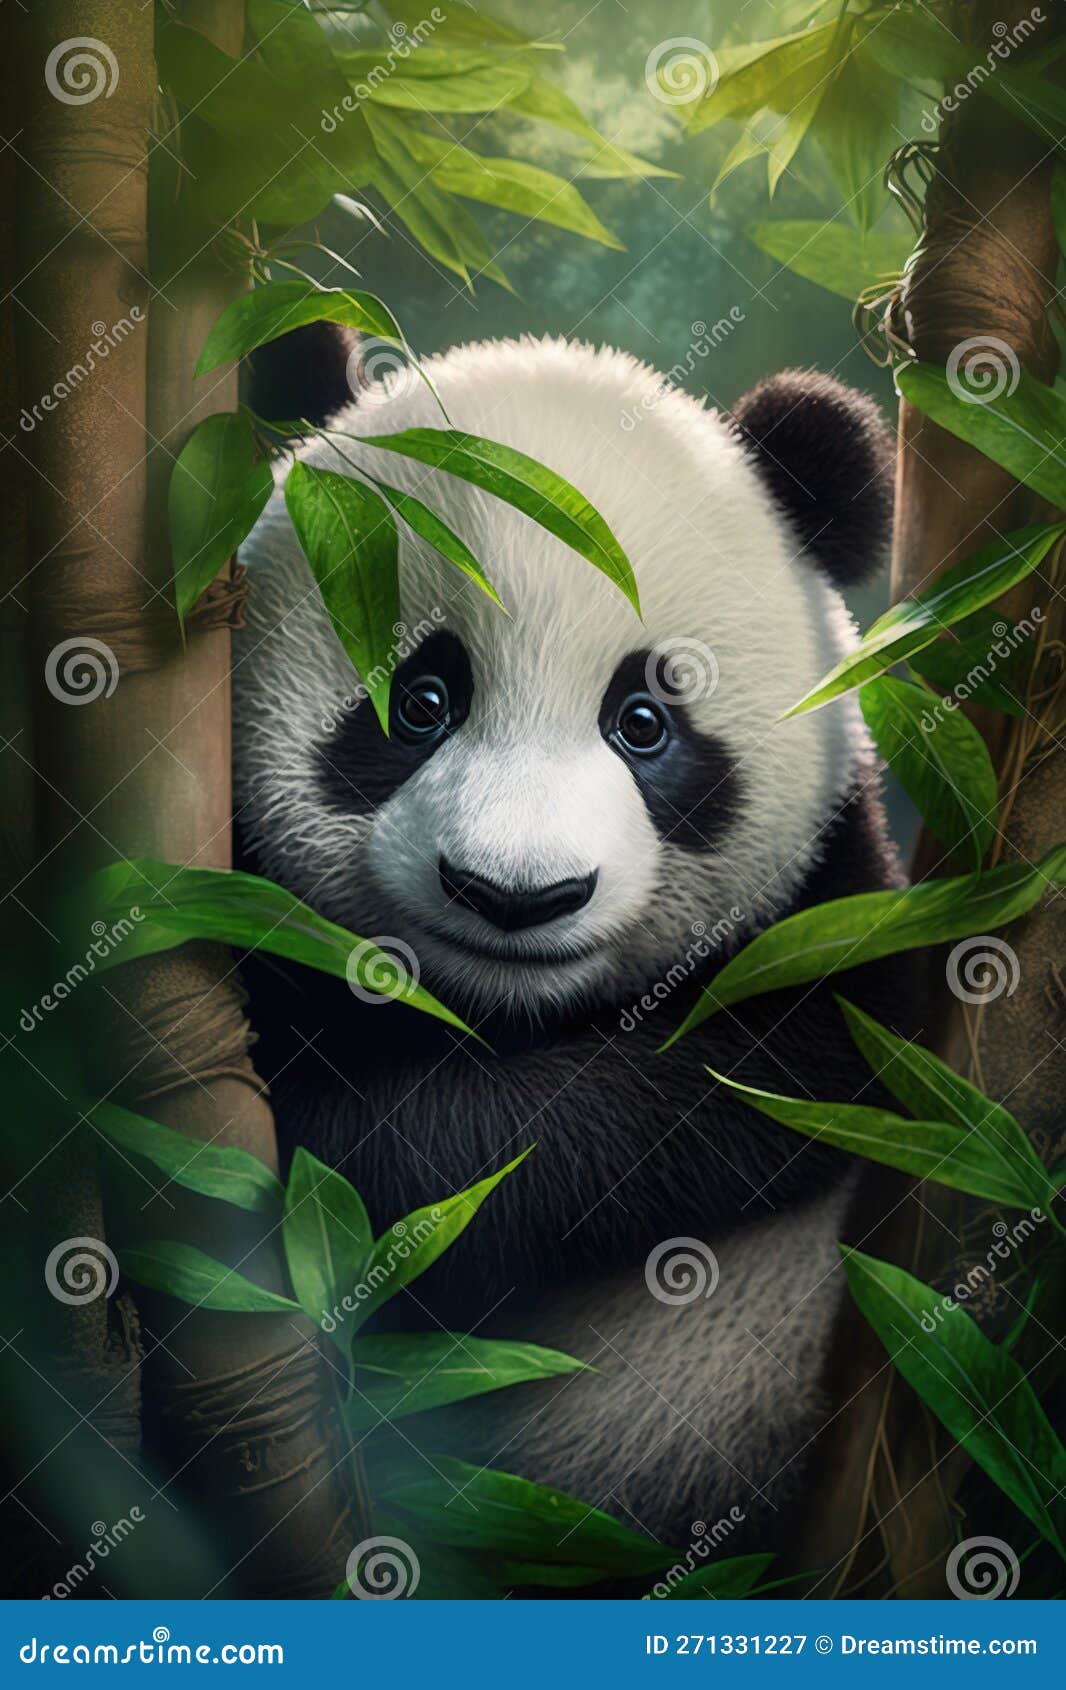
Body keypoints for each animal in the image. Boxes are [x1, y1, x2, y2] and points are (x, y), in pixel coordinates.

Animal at [233, 334, 909, 1559]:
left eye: (644, 721)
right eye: (420, 701)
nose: (513, 895)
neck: (502, 1017)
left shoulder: (830, 916)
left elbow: (739, 1096)